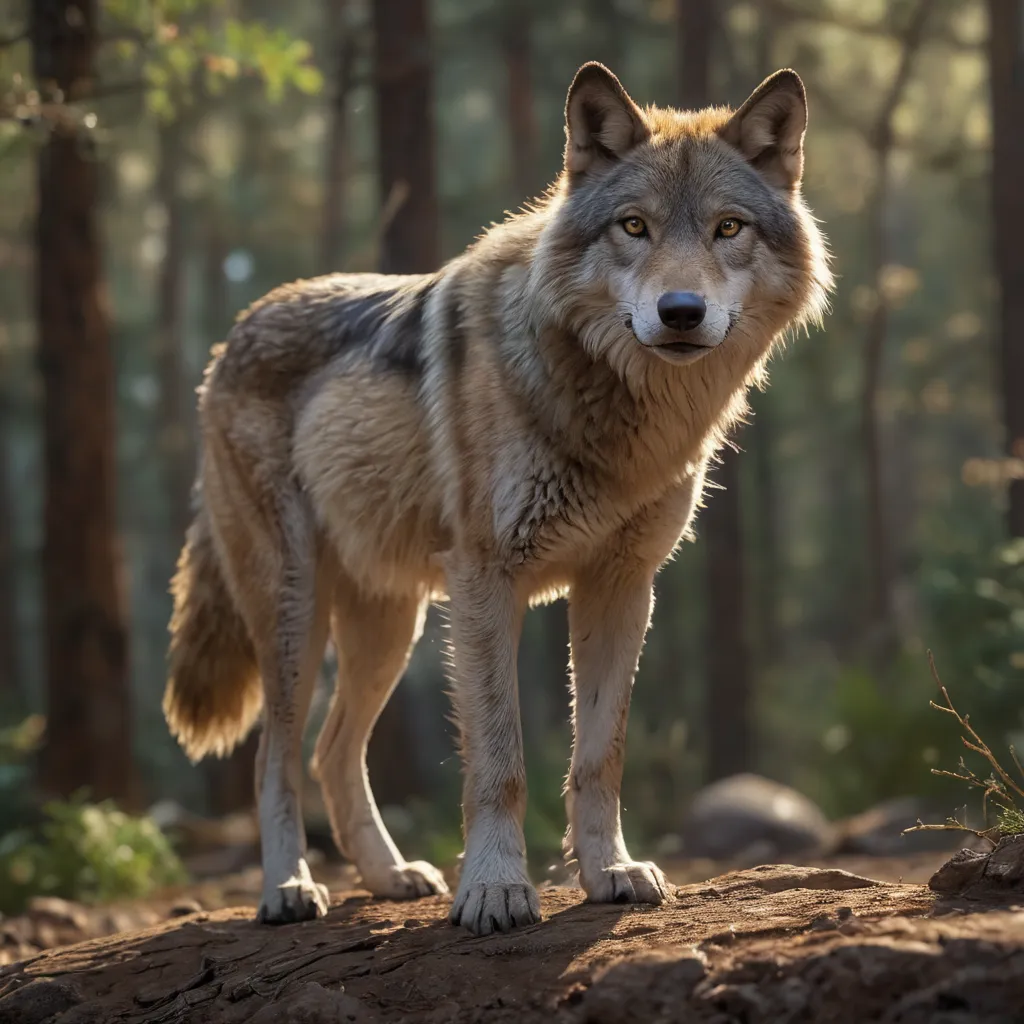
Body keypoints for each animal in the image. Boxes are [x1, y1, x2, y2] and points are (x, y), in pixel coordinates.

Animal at [163, 61, 831, 936]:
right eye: (634, 227)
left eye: (727, 229)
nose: (681, 312)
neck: (615, 412)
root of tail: (228, 337)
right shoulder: (487, 581)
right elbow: (499, 760)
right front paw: (493, 890)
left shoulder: (622, 586)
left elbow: (601, 753)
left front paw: (610, 871)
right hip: (295, 611)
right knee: (276, 756)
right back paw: (289, 889)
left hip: (391, 625)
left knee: (331, 750)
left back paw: (389, 876)